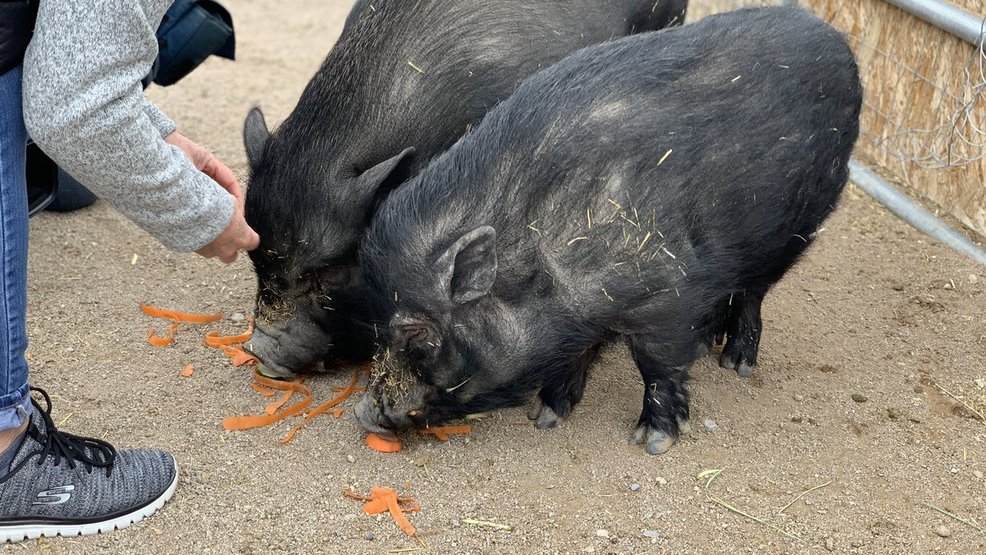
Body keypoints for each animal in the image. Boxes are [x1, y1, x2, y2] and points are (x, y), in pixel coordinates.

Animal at [354, 6, 862, 454]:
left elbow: (657, 365)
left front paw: (653, 442)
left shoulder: (668, 294)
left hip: (798, 224)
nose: (363, 413)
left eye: (417, 335)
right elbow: (576, 357)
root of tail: (835, 39)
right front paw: (545, 416)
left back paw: (735, 363)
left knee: (754, 293)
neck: (545, 250)